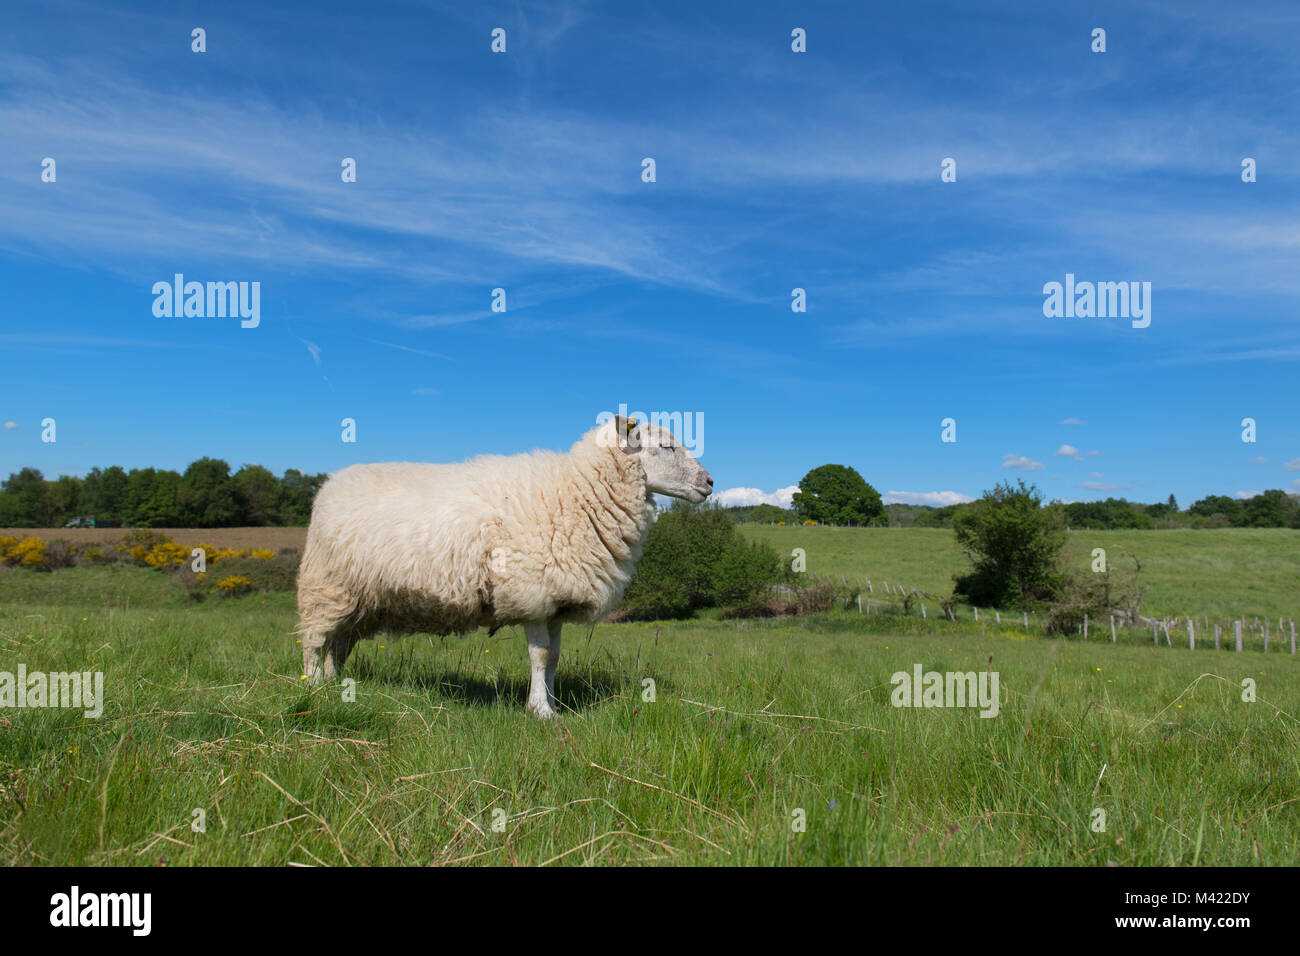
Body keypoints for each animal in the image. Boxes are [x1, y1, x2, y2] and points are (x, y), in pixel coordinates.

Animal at [296, 415, 713, 718]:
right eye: (665, 446)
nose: (710, 482)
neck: (574, 492)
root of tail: (329, 485)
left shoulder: (556, 601)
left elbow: (555, 658)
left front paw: (553, 703)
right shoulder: (533, 593)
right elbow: (540, 656)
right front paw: (541, 711)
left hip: (359, 599)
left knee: (338, 644)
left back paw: (336, 685)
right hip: (325, 586)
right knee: (315, 642)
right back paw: (314, 688)